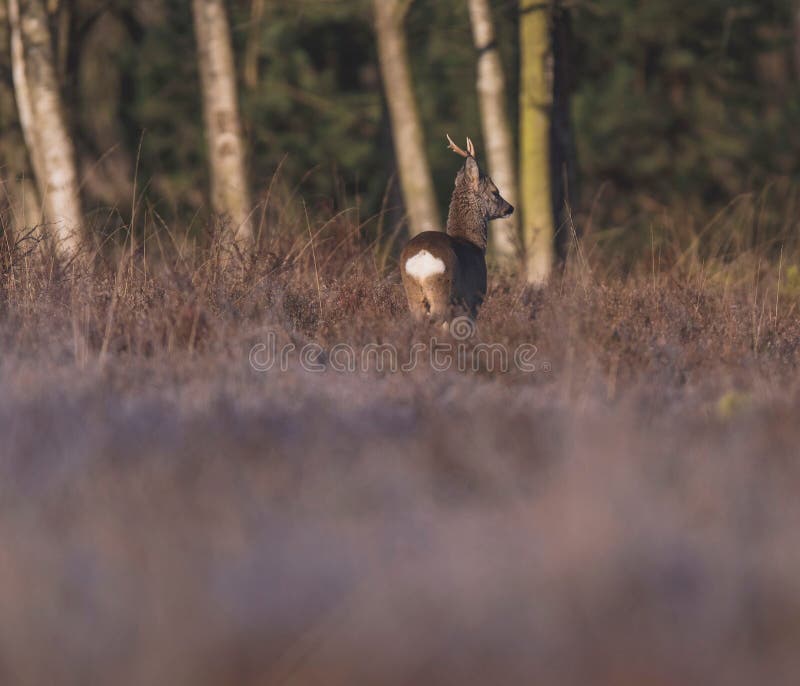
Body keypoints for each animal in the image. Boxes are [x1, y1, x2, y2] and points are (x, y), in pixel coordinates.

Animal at [400, 135, 514, 324]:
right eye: (495, 191)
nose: (510, 208)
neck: (472, 243)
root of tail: (422, 256)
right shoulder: (474, 299)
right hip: (443, 292)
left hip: (413, 294)